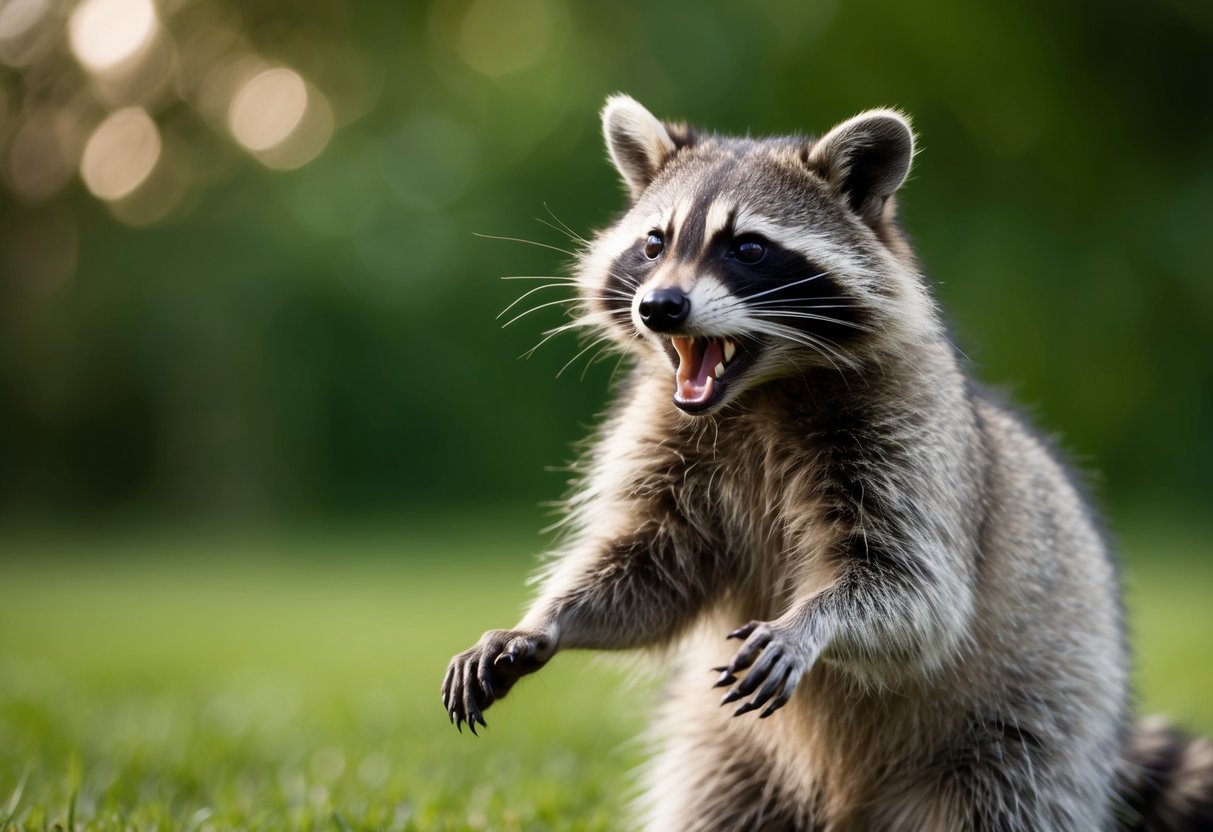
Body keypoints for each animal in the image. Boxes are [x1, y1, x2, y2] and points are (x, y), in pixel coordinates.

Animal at [442, 96, 1213, 831]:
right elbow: (650, 569)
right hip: (726, 750)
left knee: (1005, 796)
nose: (660, 307)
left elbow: (916, 593)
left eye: (748, 247)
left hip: (1027, 736)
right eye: (654, 243)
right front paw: (546, 620)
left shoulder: (911, 438)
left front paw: (812, 621)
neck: (758, 388)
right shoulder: (667, 436)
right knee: (711, 799)